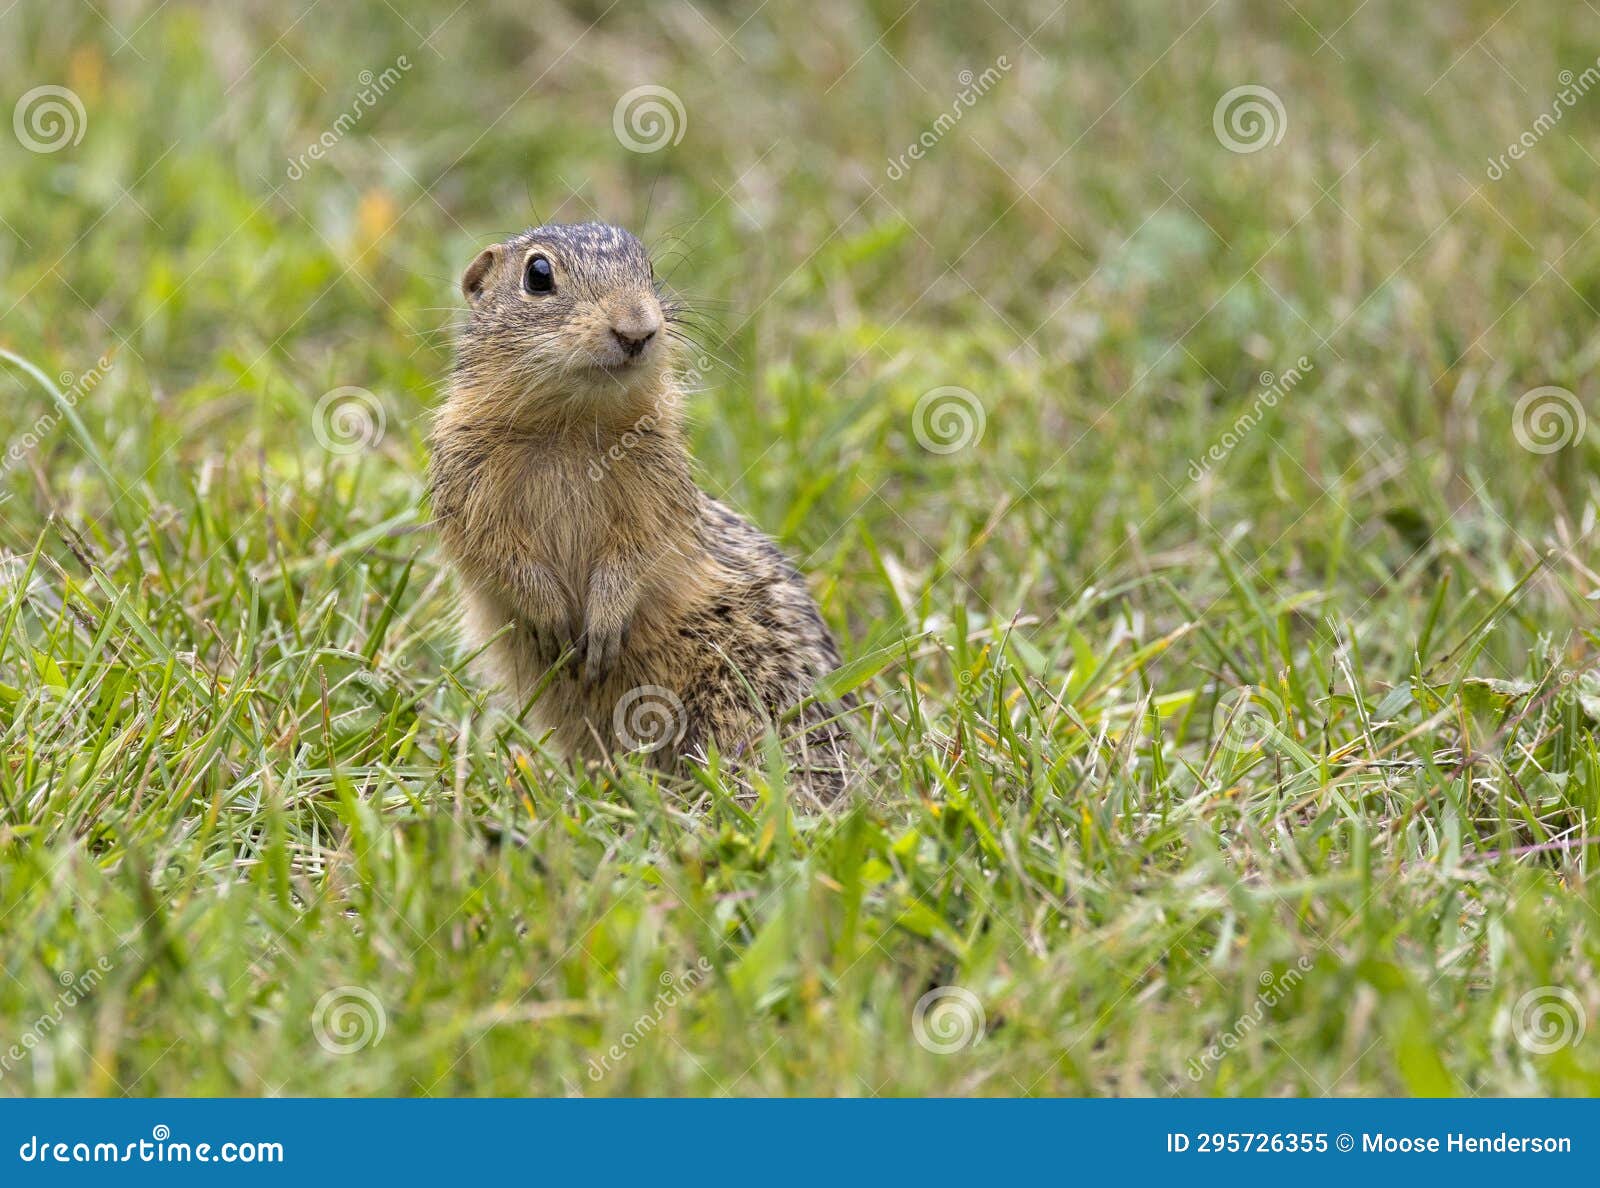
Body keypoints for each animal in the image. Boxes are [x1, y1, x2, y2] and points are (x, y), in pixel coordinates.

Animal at [429, 221, 856, 802]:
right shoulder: (466, 489)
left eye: (649, 270)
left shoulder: (659, 494)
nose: (638, 329)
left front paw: (604, 624)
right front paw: (554, 619)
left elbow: (639, 555)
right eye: (538, 275)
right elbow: (497, 556)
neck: (569, 427)